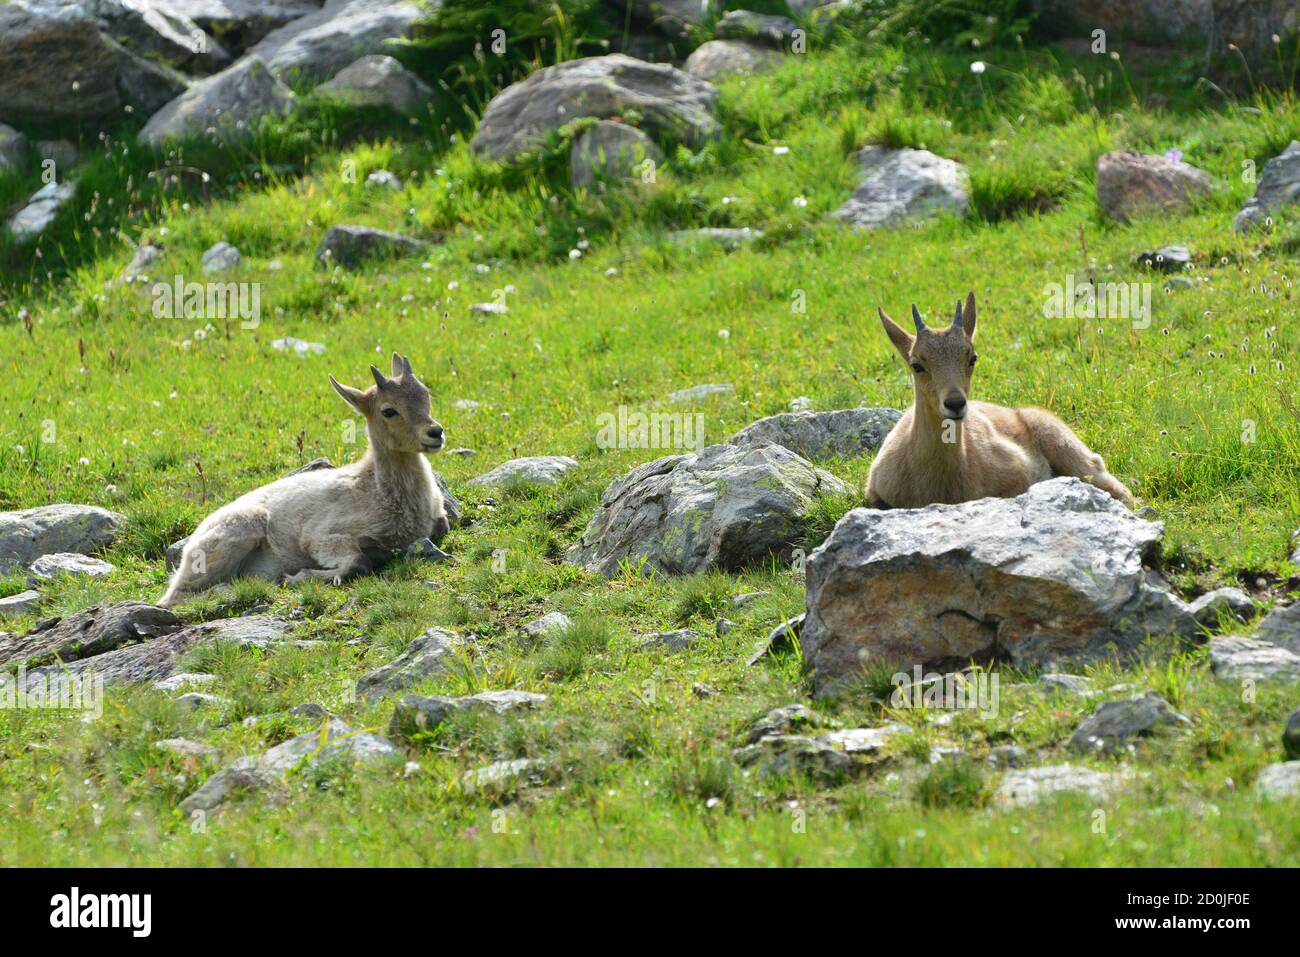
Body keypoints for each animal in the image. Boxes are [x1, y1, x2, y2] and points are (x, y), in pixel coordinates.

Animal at [159, 353, 449, 606]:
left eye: (425, 393)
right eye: (388, 410)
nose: (436, 432)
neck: (377, 490)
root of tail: (190, 545)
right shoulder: (322, 537)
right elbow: (356, 561)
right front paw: (296, 577)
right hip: (235, 532)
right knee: (179, 595)